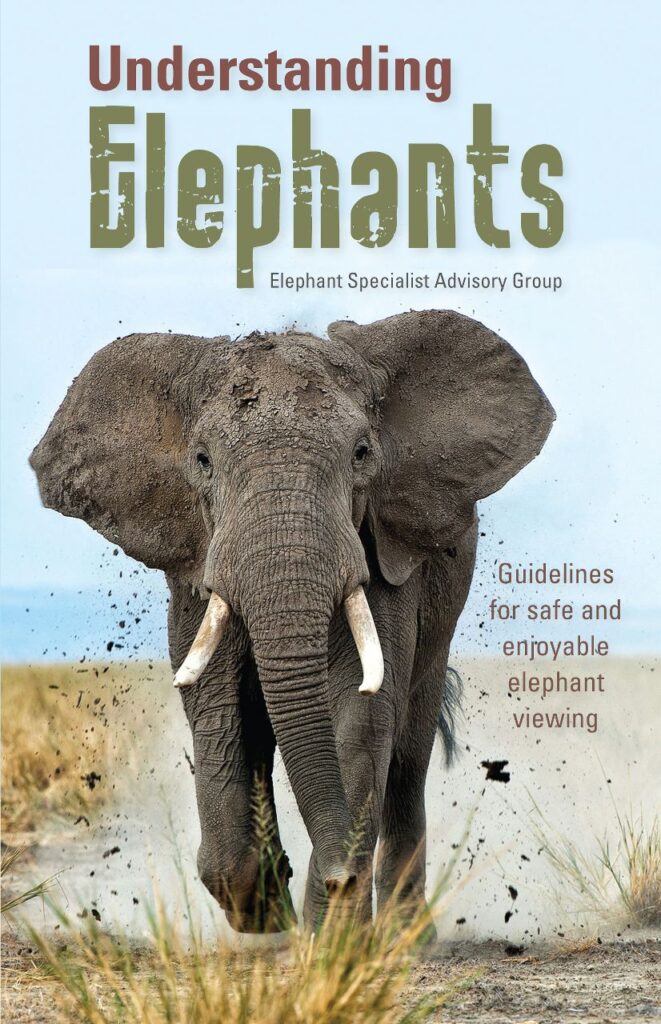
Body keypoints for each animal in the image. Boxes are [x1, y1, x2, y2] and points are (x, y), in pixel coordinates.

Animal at [30, 309, 554, 934]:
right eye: (202, 461)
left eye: (362, 453)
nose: (338, 874)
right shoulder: (197, 562)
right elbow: (217, 703)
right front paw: (267, 910)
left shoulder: (379, 551)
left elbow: (362, 710)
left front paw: (329, 935)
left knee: (408, 756)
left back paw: (403, 934)